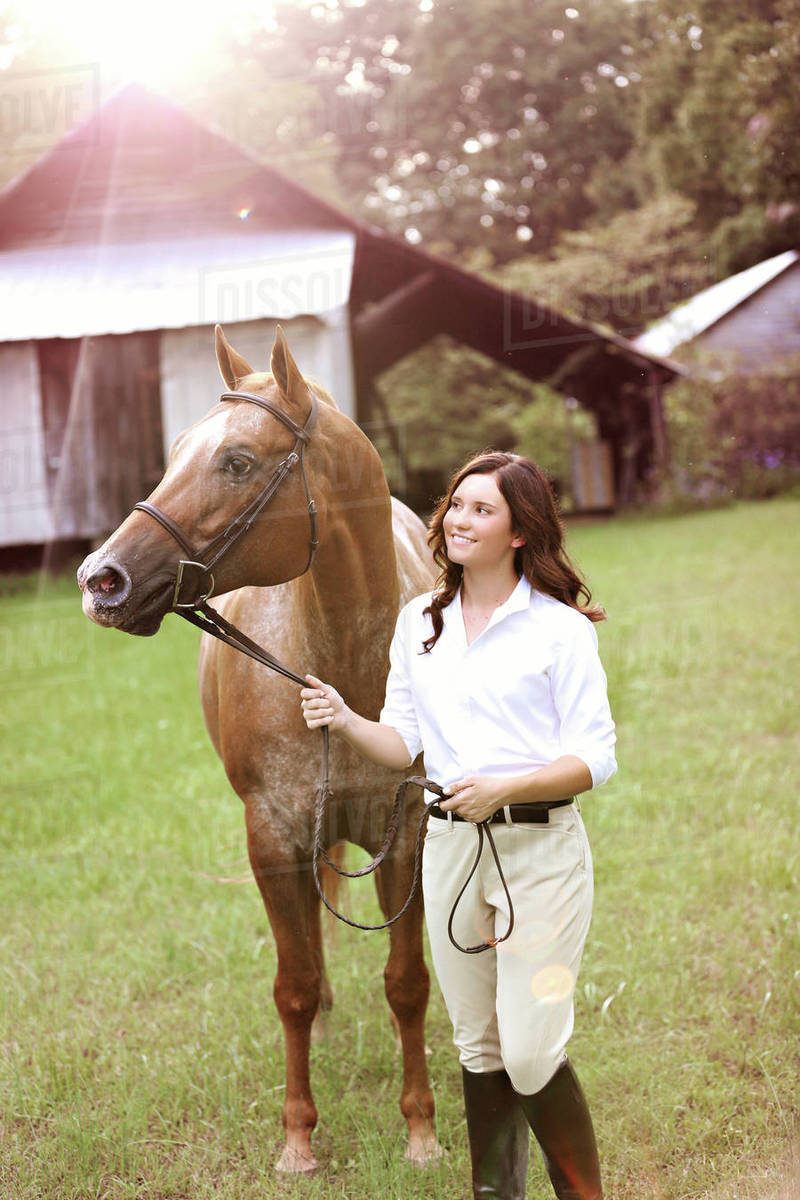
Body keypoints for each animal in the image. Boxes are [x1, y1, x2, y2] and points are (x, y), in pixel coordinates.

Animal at [77, 325, 440, 1174]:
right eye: (176, 449)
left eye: (237, 461)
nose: (99, 580)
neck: (341, 664)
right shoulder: (272, 838)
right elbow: (294, 987)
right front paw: (298, 1138)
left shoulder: (405, 835)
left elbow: (406, 982)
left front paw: (420, 1129)